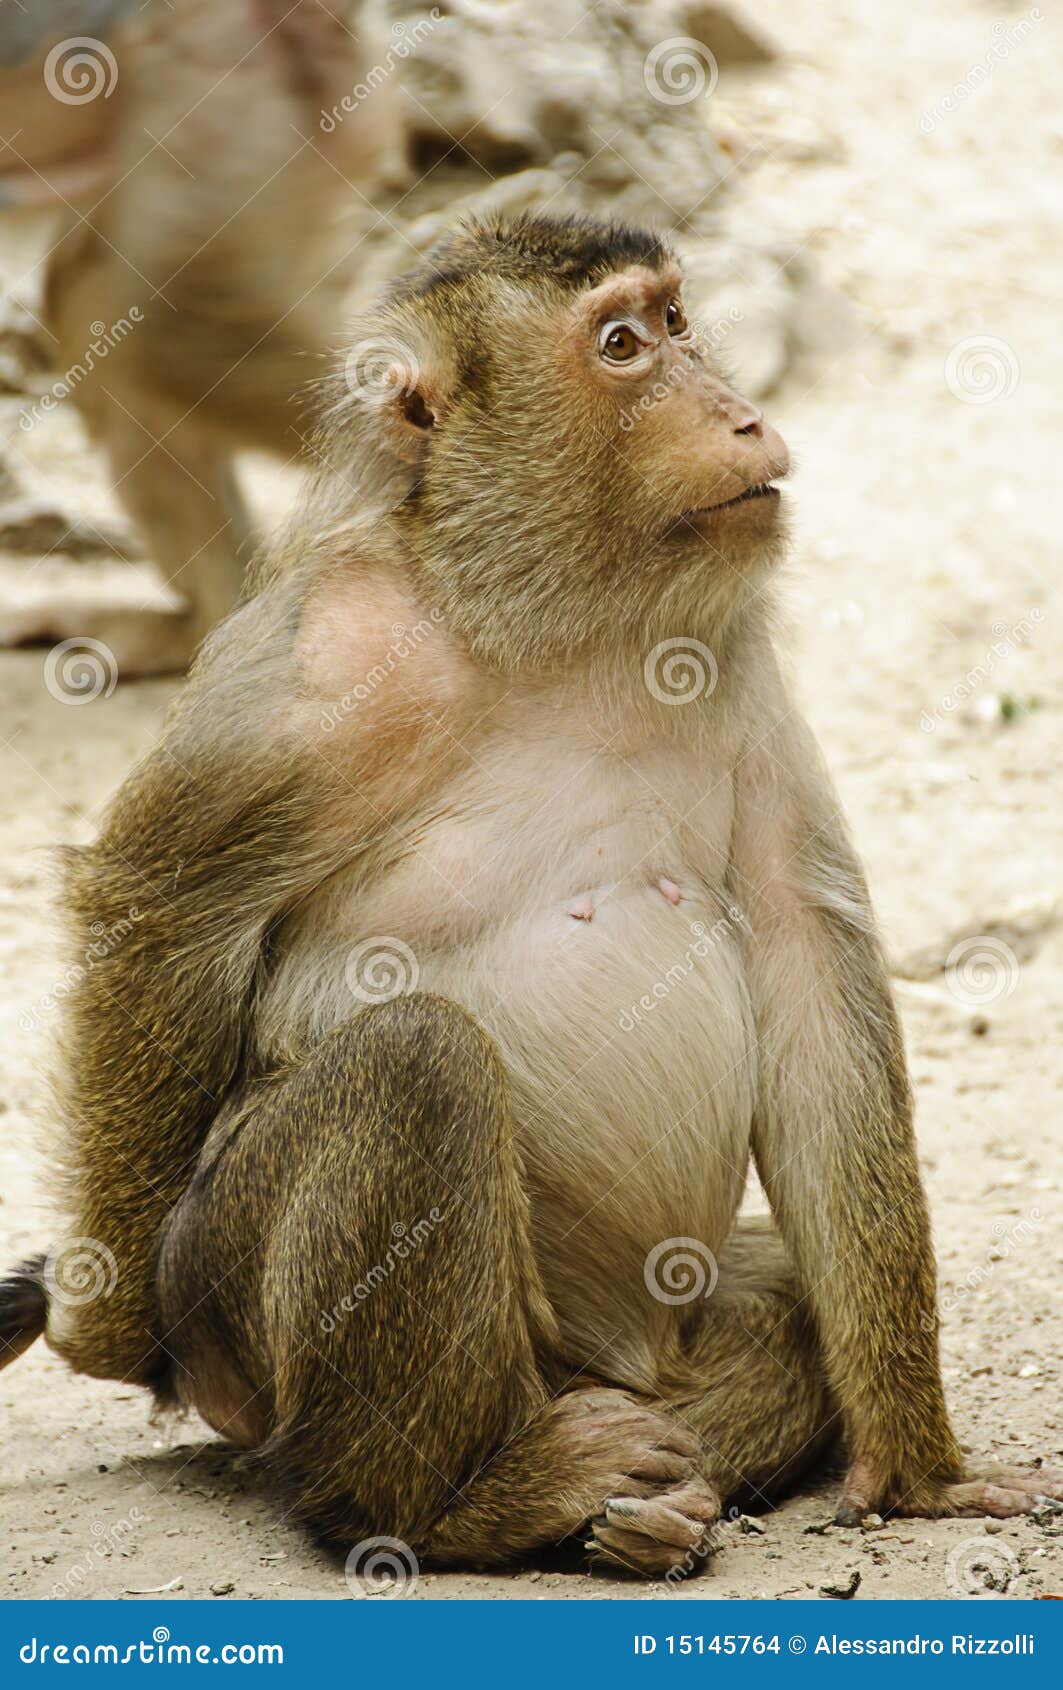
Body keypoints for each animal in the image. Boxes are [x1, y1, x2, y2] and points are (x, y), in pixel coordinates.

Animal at [3, 212, 1061, 1578]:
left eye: (676, 322)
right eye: (619, 346)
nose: (740, 415)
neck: (543, 618)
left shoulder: (735, 643)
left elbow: (804, 969)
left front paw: (917, 1464)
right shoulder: (312, 660)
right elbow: (161, 910)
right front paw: (115, 1328)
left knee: (772, 1306)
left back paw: (638, 1488)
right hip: (256, 1290)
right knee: (418, 1063)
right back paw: (467, 1501)